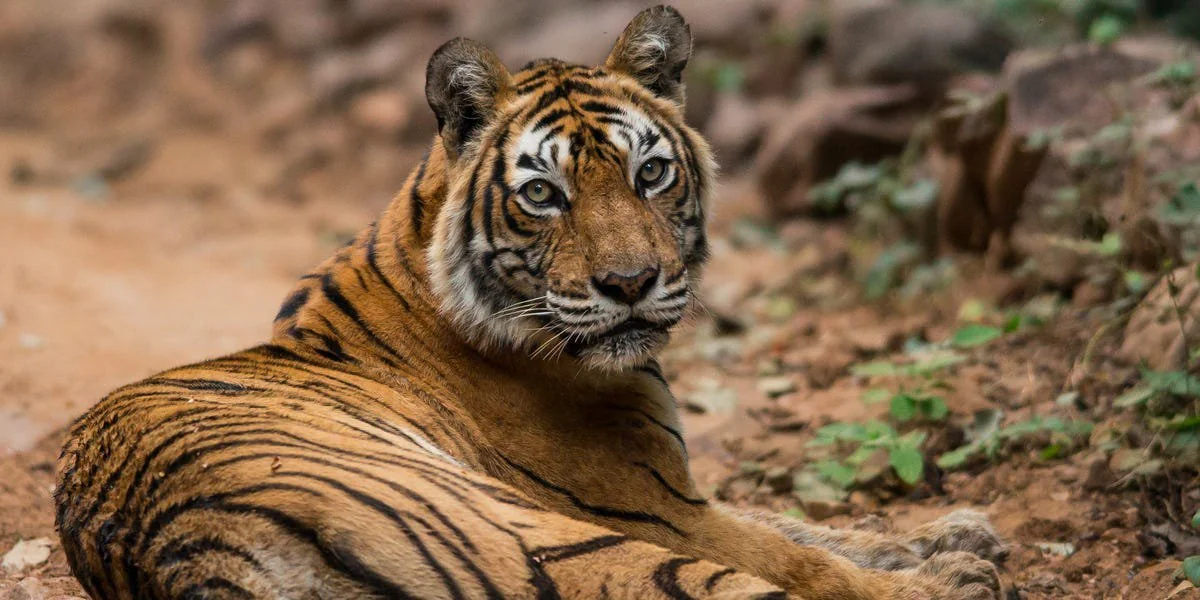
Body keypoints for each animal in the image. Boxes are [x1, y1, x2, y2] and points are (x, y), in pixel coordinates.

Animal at [54, 6, 1008, 599]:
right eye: (544, 194)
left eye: (650, 173)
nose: (630, 285)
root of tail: (191, 552)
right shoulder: (652, 505)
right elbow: (794, 552)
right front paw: (953, 565)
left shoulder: (683, 493)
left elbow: (808, 525)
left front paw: (959, 530)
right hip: (543, 537)